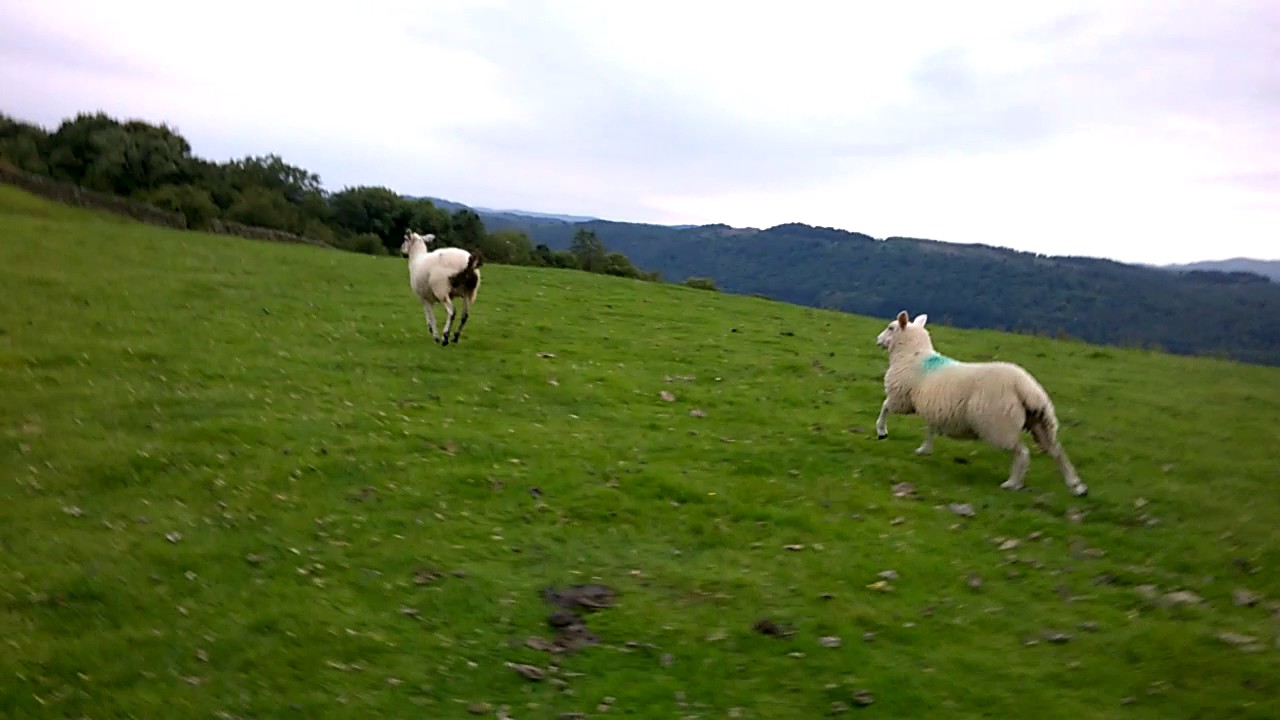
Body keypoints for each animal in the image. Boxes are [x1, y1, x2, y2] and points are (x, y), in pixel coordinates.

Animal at [873, 310, 1088, 497]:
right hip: (1041, 421)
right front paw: (924, 449)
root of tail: (1026, 388)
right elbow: (930, 428)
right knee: (1057, 451)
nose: (877, 340)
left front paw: (881, 430)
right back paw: (1076, 486)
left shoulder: (901, 398)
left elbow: (885, 406)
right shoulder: (935, 407)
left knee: (1022, 453)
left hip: (999, 424)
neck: (912, 355)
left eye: (891, 327)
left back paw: (1013, 483)